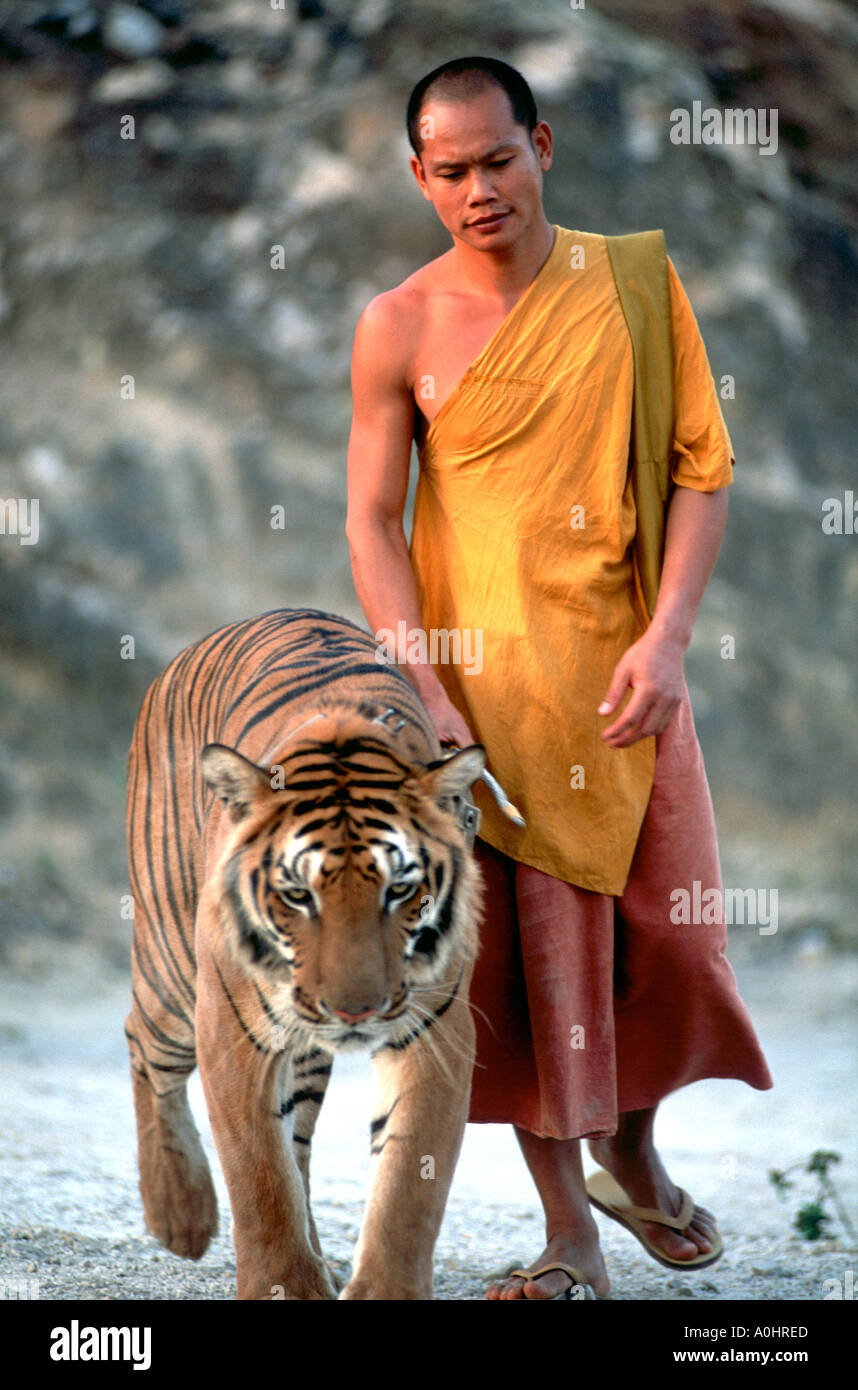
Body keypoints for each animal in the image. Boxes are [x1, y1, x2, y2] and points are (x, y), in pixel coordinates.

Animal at [124, 606, 486, 1300]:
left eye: (399, 889)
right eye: (298, 894)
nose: (355, 1011)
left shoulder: (436, 1028)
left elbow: (407, 1184)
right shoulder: (231, 1028)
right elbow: (259, 1177)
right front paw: (285, 1287)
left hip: (305, 1051)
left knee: (298, 1144)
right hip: (174, 981)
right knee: (142, 1044)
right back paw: (179, 1212)